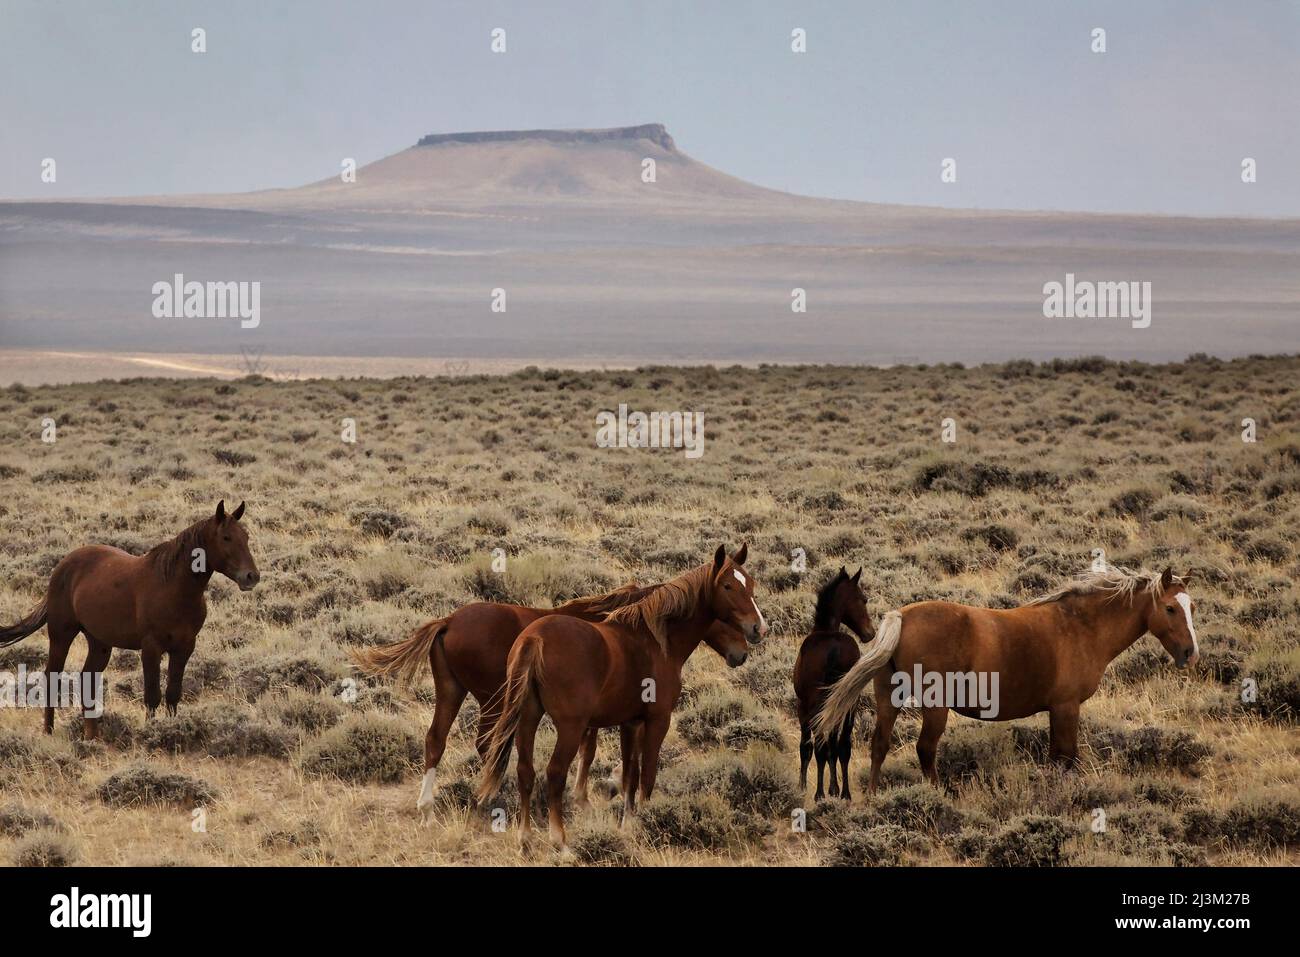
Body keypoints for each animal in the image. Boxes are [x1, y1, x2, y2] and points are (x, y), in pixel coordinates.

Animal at [0, 500, 259, 739]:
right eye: (226, 538)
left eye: (246, 537)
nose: (252, 576)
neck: (173, 587)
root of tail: (62, 565)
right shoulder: (151, 647)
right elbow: (152, 695)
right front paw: (152, 734)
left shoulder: (184, 647)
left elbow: (173, 693)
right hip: (61, 635)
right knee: (52, 678)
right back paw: (49, 732)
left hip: (99, 643)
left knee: (88, 680)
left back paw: (91, 738)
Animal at [351, 581, 750, 821]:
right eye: (728, 616)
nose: (742, 652)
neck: (622, 631)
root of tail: (449, 620)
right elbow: (588, 751)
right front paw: (584, 797)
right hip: (491, 701)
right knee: (488, 746)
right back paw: (497, 799)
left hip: (451, 691)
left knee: (437, 740)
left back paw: (430, 806)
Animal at [476, 544, 767, 850]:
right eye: (727, 586)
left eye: (750, 584)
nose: (757, 630)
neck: (655, 640)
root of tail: (535, 639)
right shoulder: (657, 720)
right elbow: (647, 775)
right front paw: (646, 824)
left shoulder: (630, 723)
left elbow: (630, 776)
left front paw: (628, 825)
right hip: (570, 727)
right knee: (555, 773)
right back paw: (560, 841)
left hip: (528, 719)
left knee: (525, 771)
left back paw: (526, 838)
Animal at [794, 567, 874, 801]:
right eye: (864, 599)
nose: (870, 633)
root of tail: (834, 649)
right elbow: (834, 747)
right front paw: (834, 788)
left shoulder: (802, 707)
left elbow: (806, 747)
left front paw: (803, 787)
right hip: (849, 705)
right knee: (843, 745)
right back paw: (845, 793)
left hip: (817, 705)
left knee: (820, 746)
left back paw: (819, 794)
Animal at [814, 567, 1198, 792]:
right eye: (1170, 608)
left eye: (1191, 607)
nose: (1190, 653)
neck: (1081, 625)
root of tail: (901, 616)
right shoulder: (1066, 708)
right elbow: (1066, 757)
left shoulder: (1058, 711)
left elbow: (1057, 756)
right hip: (935, 707)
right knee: (925, 749)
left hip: (887, 700)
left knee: (879, 744)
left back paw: (873, 795)